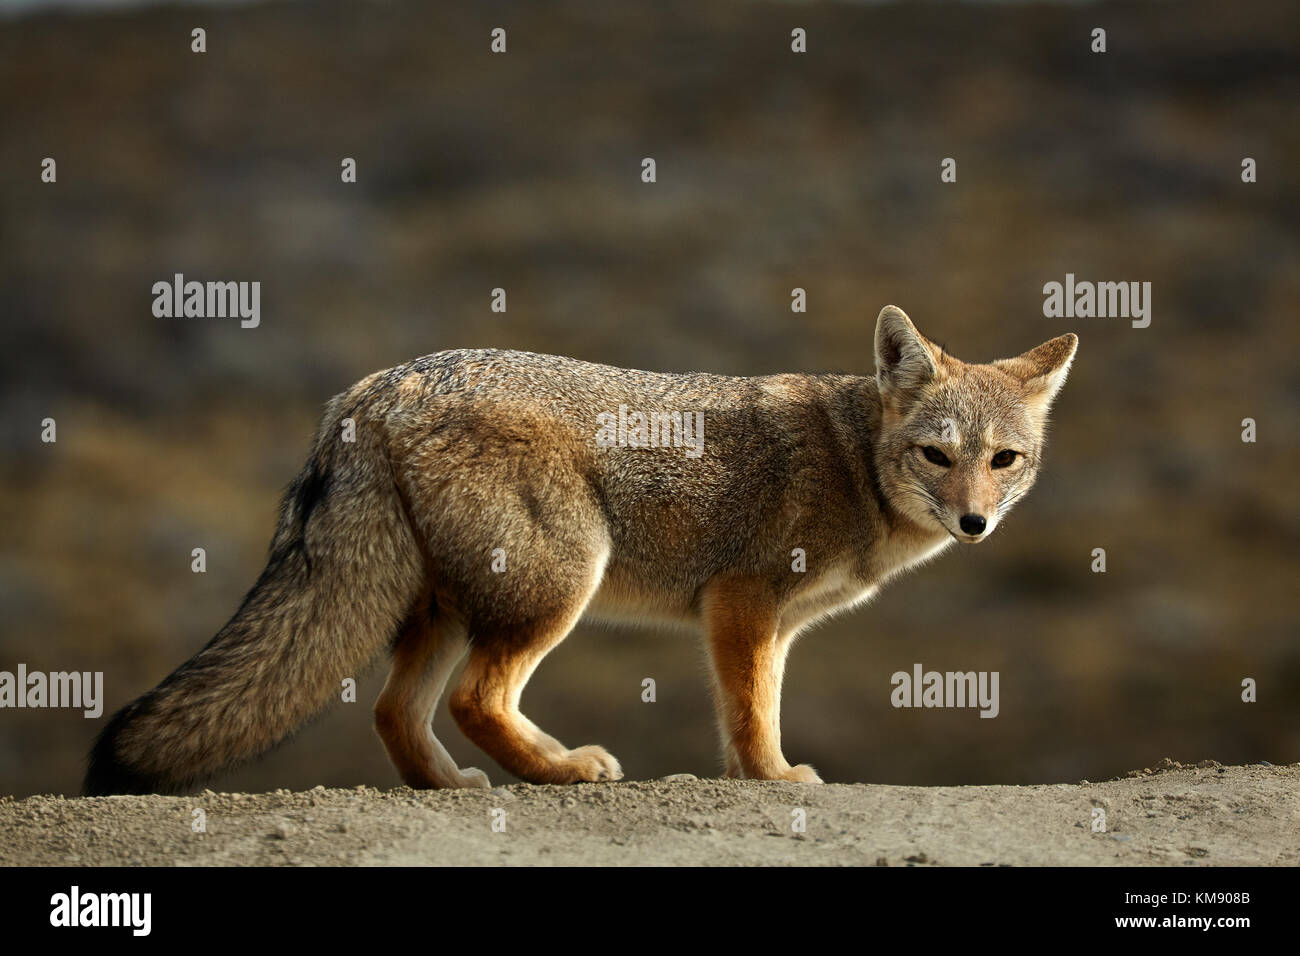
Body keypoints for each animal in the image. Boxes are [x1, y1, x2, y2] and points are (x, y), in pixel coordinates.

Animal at [84, 306, 1077, 794]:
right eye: (937, 456)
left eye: (1003, 461)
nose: (975, 524)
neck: (854, 459)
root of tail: (376, 387)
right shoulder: (742, 603)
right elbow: (753, 713)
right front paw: (771, 779)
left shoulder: (770, 626)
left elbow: (749, 707)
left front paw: (748, 774)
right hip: (559, 584)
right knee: (477, 701)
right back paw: (563, 771)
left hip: (450, 609)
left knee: (396, 712)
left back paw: (451, 787)